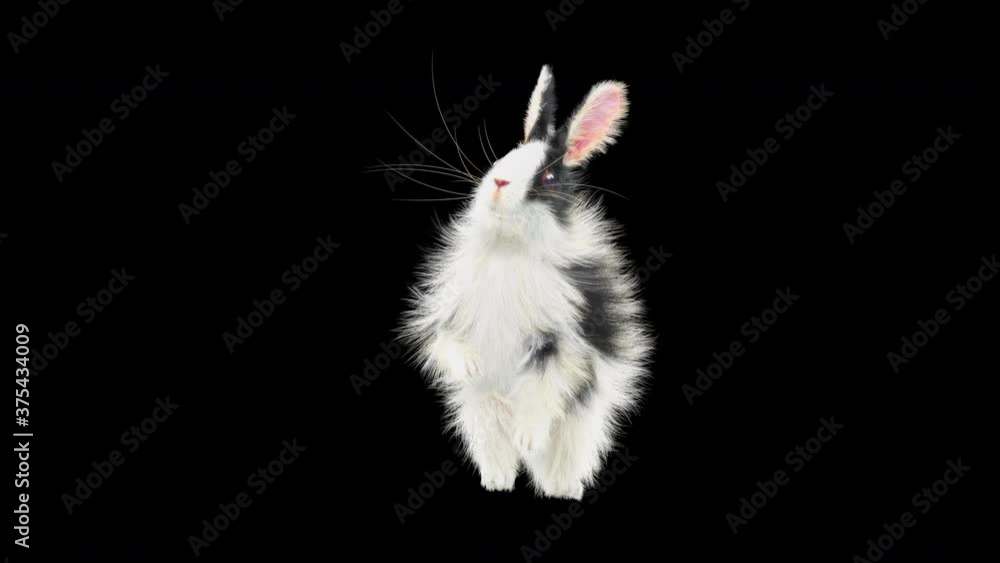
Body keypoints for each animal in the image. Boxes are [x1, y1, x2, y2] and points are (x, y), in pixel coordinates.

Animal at [399, 65, 653, 500]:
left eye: (548, 177)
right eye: (505, 156)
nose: (499, 182)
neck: (508, 250)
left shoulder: (562, 344)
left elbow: (546, 388)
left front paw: (528, 437)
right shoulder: (448, 314)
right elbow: (446, 344)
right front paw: (470, 366)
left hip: (577, 430)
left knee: (562, 456)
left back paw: (560, 489)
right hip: (481, 418)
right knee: (497, 451)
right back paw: (498, 484)